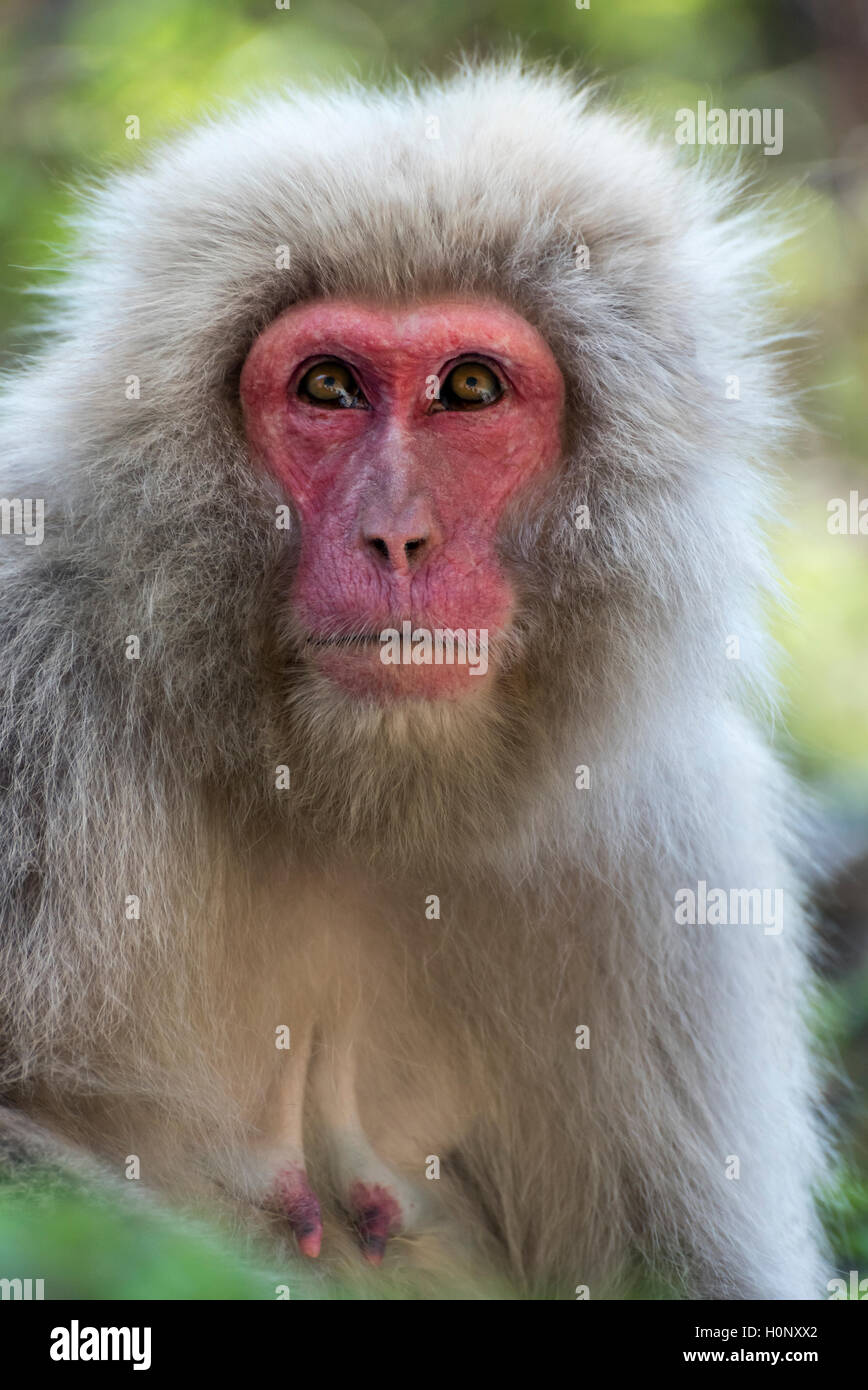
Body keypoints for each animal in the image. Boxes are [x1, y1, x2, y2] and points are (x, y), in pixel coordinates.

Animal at [0, 59, 830, 1299]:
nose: (397, 538)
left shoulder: (672, 845)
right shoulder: (26, 671)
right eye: (329, 386)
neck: (344, 789)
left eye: (470, 387)